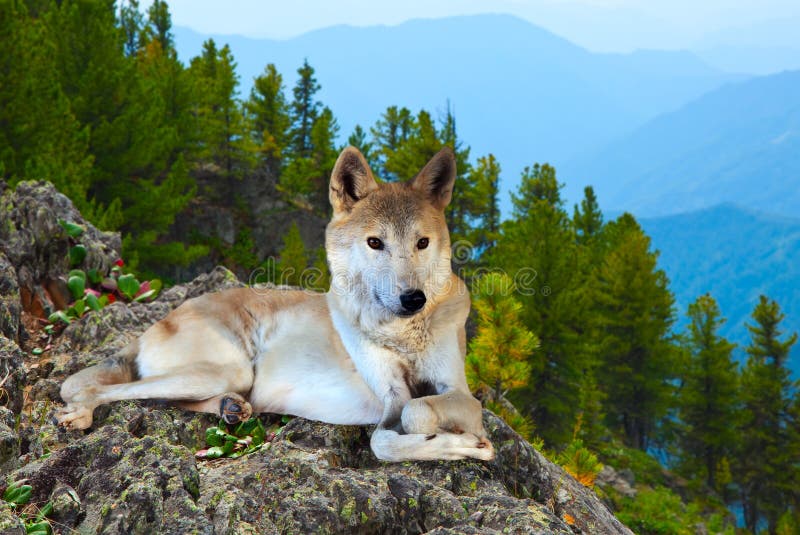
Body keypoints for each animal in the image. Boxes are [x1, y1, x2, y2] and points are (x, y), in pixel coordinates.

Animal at [57, 146, 494, 462]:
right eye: (375, 242)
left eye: (422, 242)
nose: (413, 298)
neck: (401, 333)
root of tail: (157, 323)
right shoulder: (391, 396)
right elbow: (391, 433)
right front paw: (462, 445)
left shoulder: (456, 388)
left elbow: (414, 414)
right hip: (222, 370)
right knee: (101, 390)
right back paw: (81, 412)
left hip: (223, 378)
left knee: (164, 397)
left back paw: (231, 409)